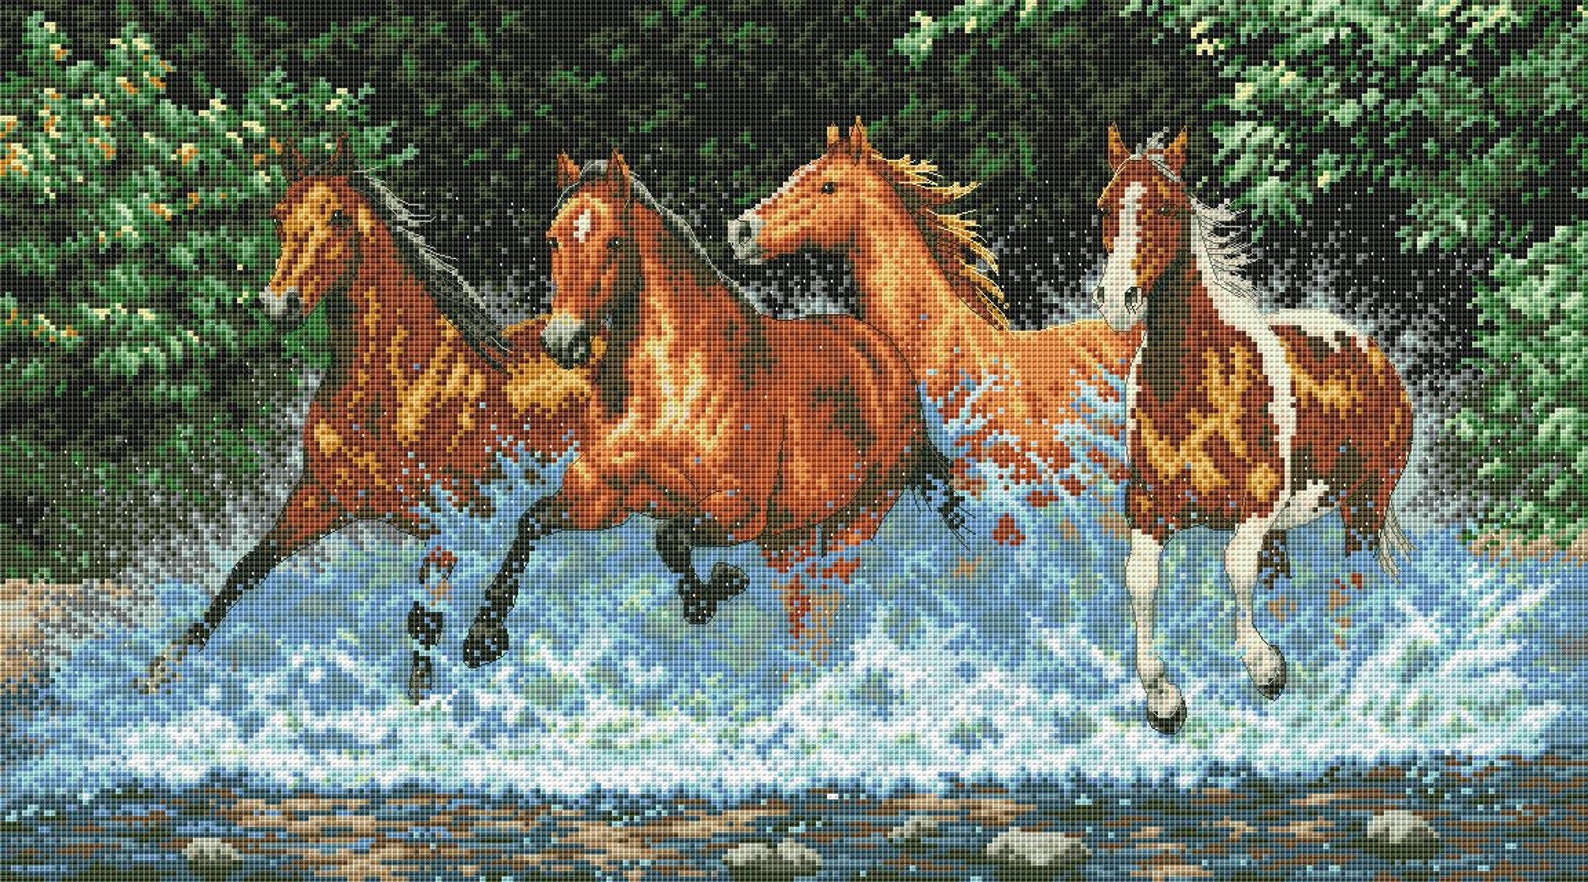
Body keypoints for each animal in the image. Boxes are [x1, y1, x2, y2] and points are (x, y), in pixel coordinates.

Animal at [138, 136, 591, 701]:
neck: (398, 395)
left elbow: (423, 626)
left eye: (337, 216)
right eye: (278, 215)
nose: (277, 304)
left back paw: (488, 636)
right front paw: (163, 667)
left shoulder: (451, 526)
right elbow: (246, 568)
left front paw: (420, 704)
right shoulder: (320, 497)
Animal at [458, 149, 965, 670]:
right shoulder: (601, 496)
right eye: (554, 239)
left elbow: (668, 538)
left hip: (858, 515)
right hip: (790, 533)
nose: (563, 341)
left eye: (615, 240)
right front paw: (482, 637)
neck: (665, 396)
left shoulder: (739, 510)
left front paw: (717, 588)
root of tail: (886, 354)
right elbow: (530, 523)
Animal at [1092, 126, 1414, 733]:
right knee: (1282, 572)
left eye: (1167, 207)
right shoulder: (1149, 507)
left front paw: (1266, 667)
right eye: (1105, 207)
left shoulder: (1256, 509)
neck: (1191, 388)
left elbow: (1234, 571)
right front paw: (1163, 699)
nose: (1117, 300)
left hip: (1366, 500)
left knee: (1357, 569)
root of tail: (1372, 352)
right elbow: (1140, 580)